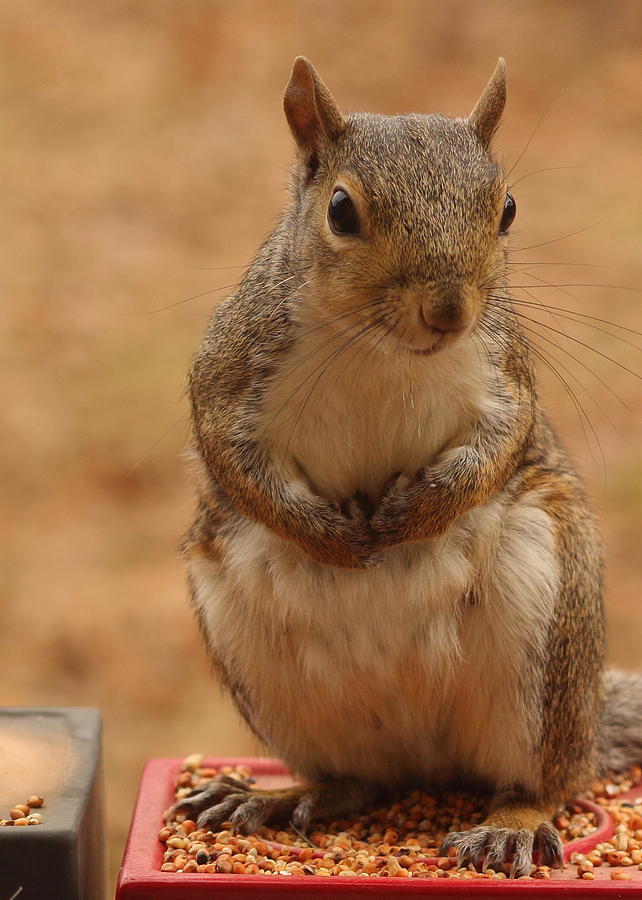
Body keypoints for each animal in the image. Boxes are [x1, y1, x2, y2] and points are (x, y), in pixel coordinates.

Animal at [174, 57, 642, 877]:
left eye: (507, 208)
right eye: (341, 211)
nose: (448, 310)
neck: (378, 349)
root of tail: (428, 760)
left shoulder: (504, 373)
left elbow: (499, 445)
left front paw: (412, 513)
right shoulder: (228, 372)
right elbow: (231, 460)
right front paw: (329, 536)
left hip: (548, 628)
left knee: (544, 781)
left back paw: (511, 823)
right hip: (259, 654)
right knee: (358, 780)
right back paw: (274, 797)